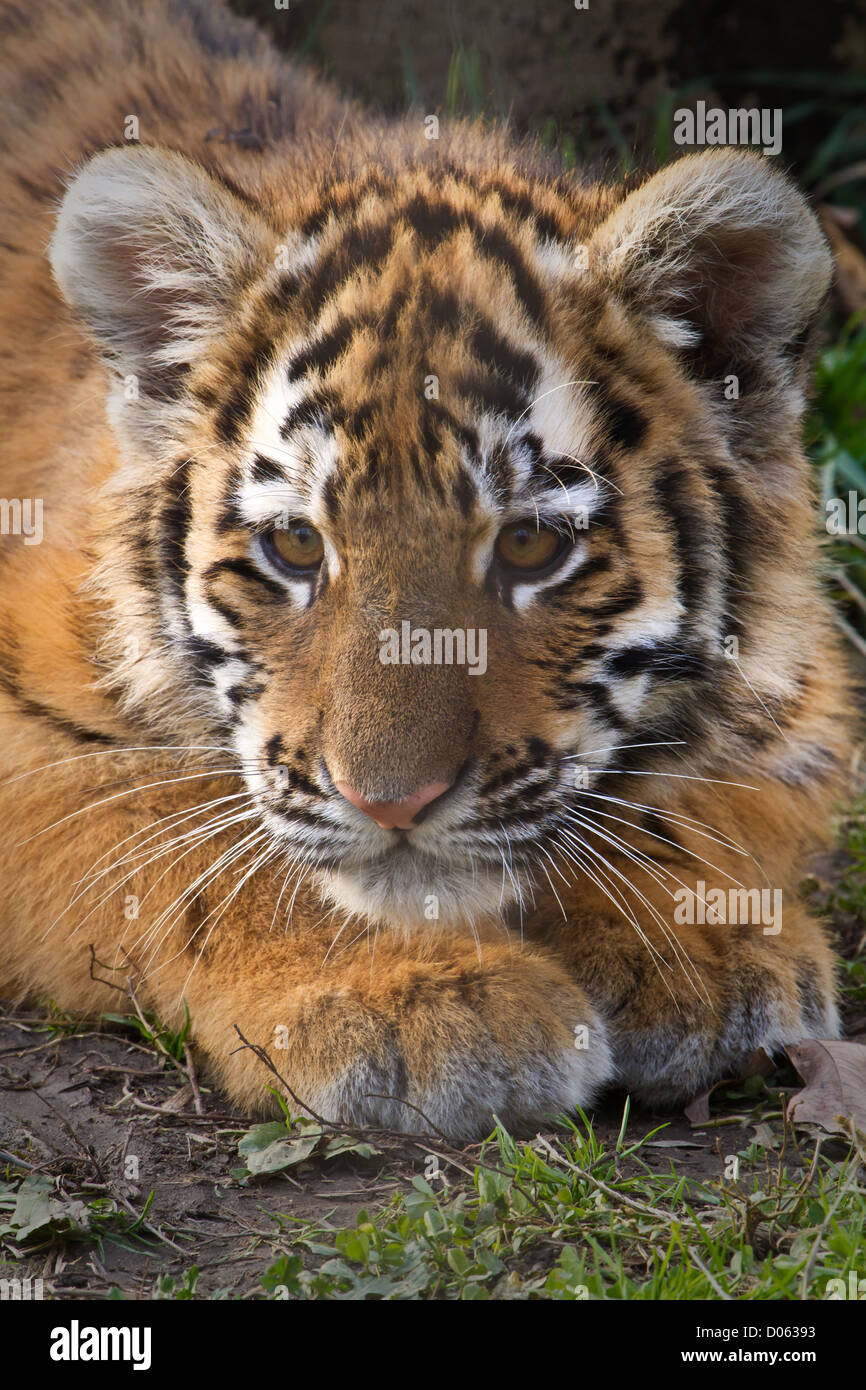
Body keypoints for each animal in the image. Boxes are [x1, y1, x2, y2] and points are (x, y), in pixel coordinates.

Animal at [0, 0, 853, 1139]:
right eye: (296, 545)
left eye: (532, 545)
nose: (390, 805)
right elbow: (199, 842)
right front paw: (418, 998)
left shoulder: (801, 696)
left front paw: (699, 947)